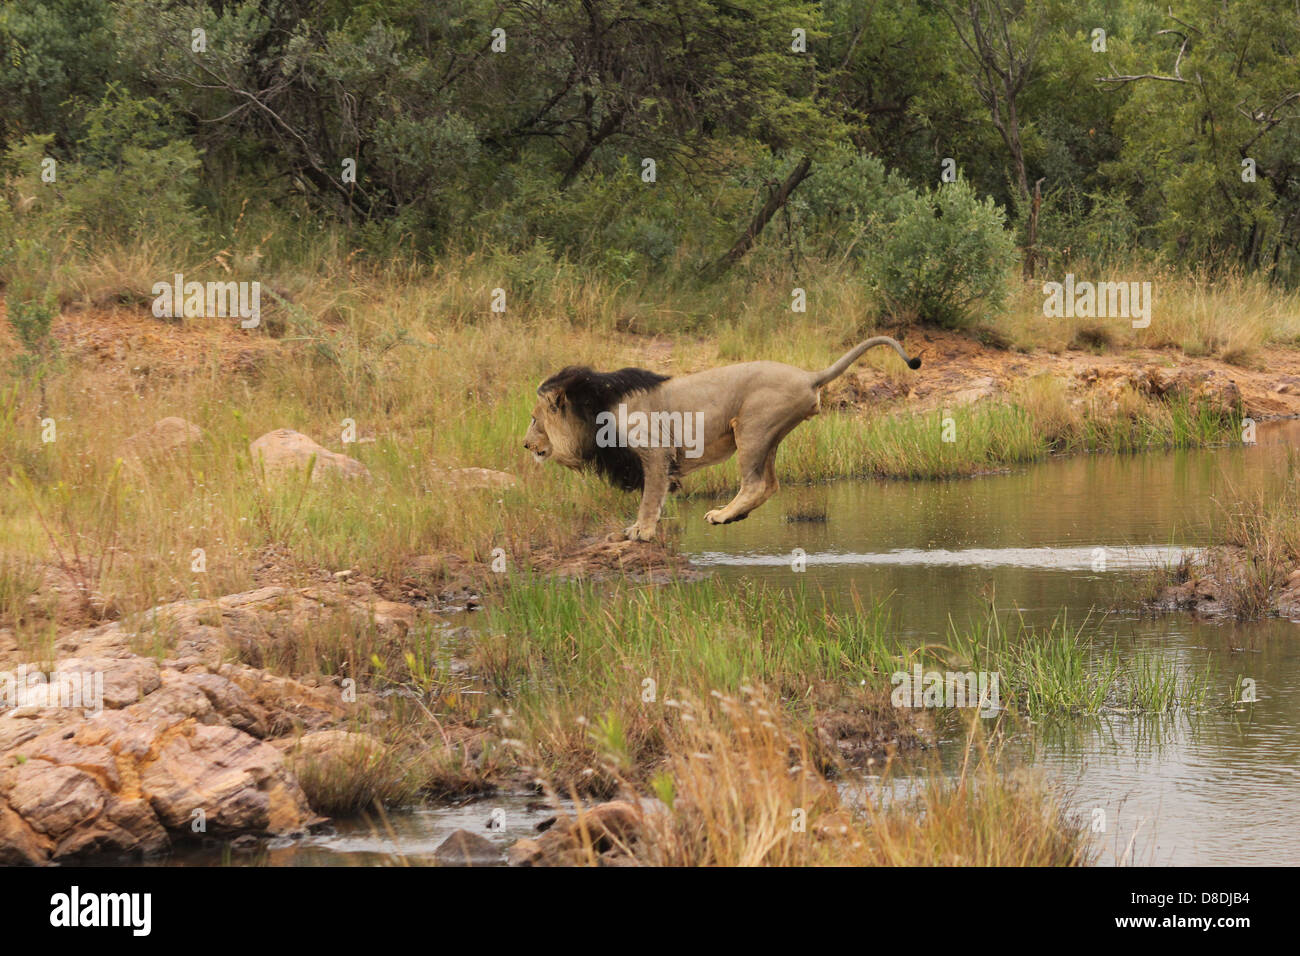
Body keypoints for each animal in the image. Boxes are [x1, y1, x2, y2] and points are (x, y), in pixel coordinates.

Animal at [522, 336, 921, 541]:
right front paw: (638, 529)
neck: (591, 410)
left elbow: (650, 498)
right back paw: (734, 516)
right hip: (767, 434)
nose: (525, 445)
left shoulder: (654, 452)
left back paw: (722, 515)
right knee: (770, 483)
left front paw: (641, 531)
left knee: (755, 484)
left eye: (534, 419)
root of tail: (808, 375)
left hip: (752, 428)